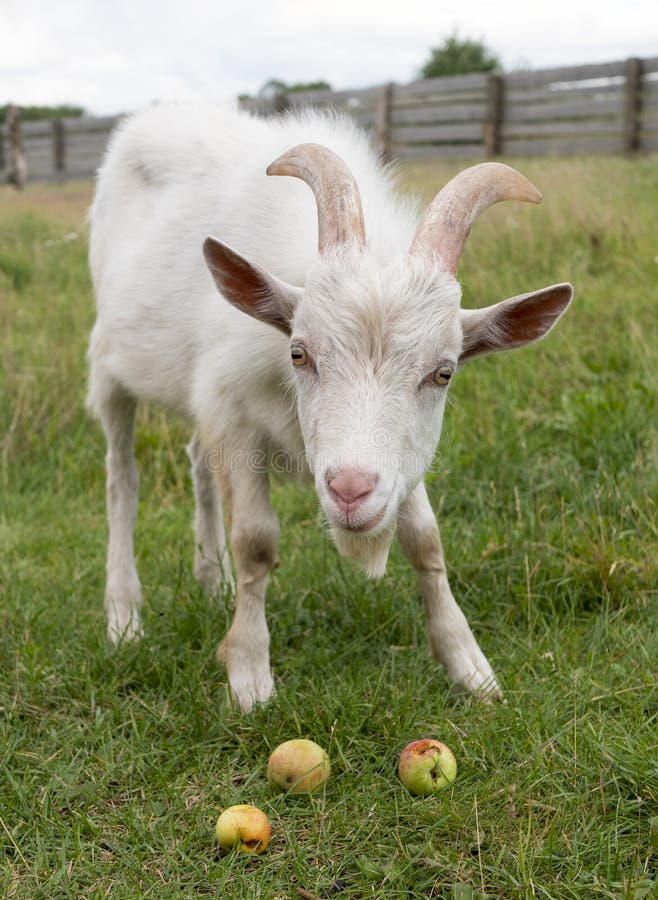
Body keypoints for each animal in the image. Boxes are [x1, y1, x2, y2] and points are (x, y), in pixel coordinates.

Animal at [87, 105, 573, 711]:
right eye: (298, 351)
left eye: (444, 372)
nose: (349, 490)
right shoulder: (234, 413)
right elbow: (256, 542)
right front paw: (249, 674)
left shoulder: (399, 461)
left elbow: (425, 539)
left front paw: (470, 666)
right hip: (110, 368)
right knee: (120, 478)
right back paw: (123, 615)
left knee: (197, 458)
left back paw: (212, 580)